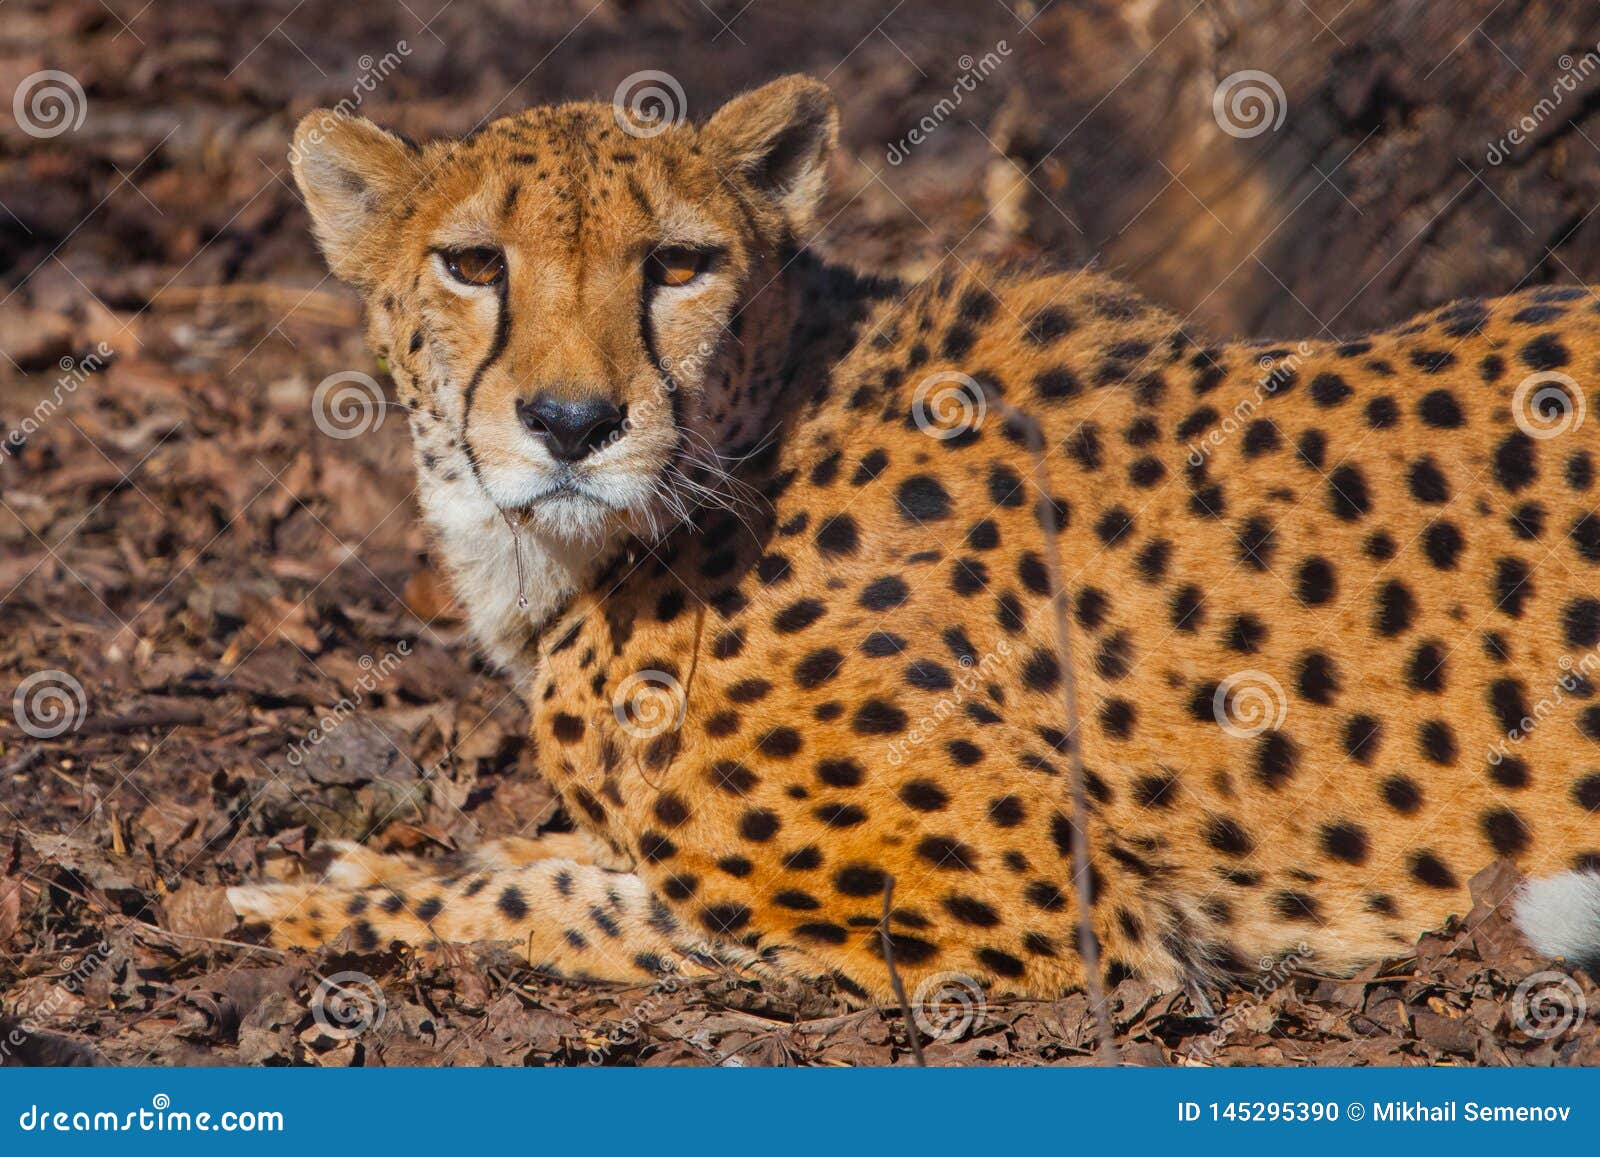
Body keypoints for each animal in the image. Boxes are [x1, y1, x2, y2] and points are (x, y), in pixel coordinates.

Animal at [231, 74, 1600, 1006]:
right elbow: (556, 855)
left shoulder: (1045, 914)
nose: (573, 422)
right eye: (472, 263)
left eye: (678, 263)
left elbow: (565, 894)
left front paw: (292, 904)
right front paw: (357, 871)